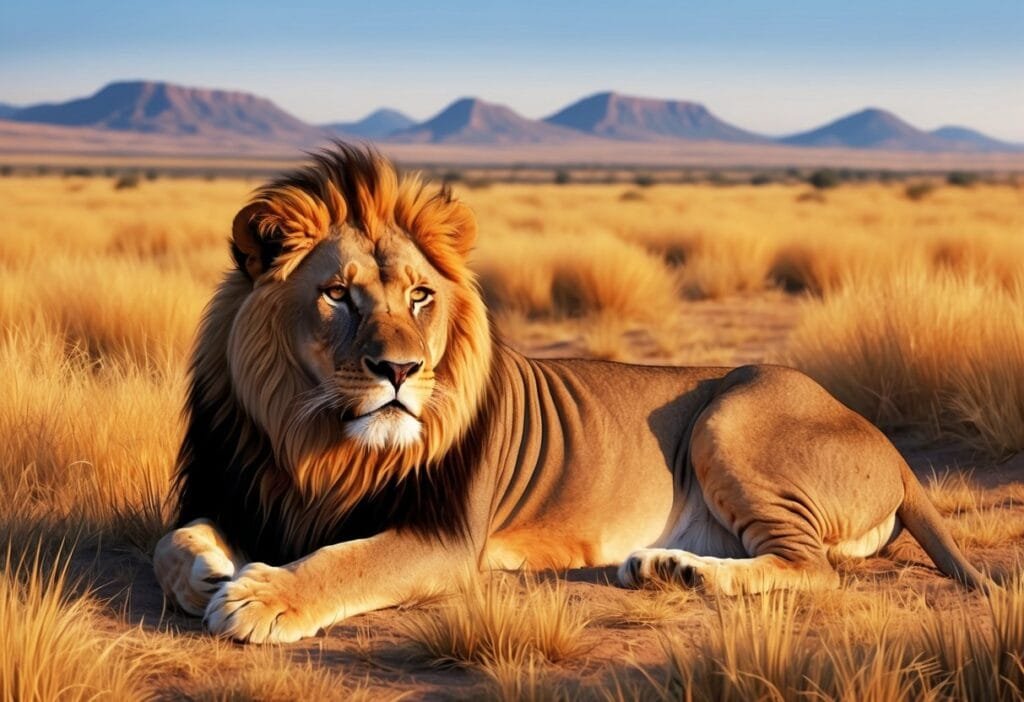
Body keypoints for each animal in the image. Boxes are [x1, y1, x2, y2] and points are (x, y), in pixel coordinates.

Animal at [153, 144, 987, 644]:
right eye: (337, 295)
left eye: (421, 296)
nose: (402, 370)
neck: (313, 440)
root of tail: (884, 440)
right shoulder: (237, 492)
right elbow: (172, 544)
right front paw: (209, 574)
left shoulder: (443, 538)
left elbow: (343, 563)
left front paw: (259, 599)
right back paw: (667, 567)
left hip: (732, 418)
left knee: (812, 566)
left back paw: (692, 574)